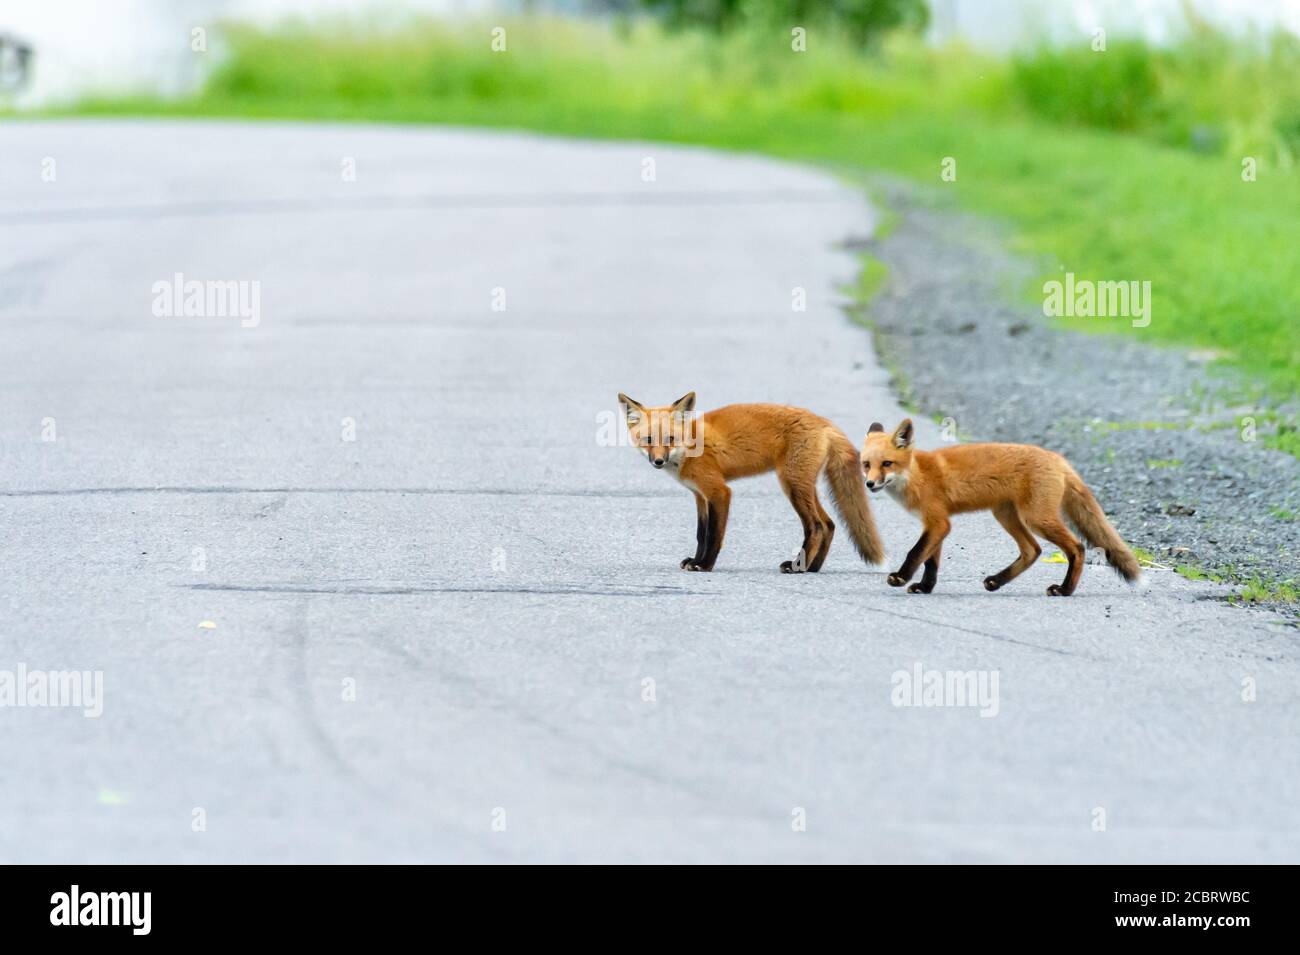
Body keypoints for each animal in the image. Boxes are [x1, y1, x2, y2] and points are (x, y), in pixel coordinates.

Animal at [618, 392, 885, 573]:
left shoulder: (719, 491)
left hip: (792, 485)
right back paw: (812, 567)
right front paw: (695, 560)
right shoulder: (700, 495)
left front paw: (704, 565)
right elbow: (700, 534)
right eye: (648, 440)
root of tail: (824, 422)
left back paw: (797, 567)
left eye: (670, 439)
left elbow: (713, 535)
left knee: (816, 526)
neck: (689, 447)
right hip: (802, 485)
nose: (658, 461)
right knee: (829, 524)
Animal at [860, 418, 1141, 596]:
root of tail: (1058, 458)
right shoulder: (935, 524)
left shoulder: (938, 522)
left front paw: (901, 577)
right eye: (866, 464)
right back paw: (997, 581)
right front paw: (924, 588)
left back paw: (1065, 590)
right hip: (1006, 515)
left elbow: (915, 553)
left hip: (1036, 518)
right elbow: (931, 562)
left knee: (1077, 547)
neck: (917, 475)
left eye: (887, 463)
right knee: (1032, 550)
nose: (869, 483)